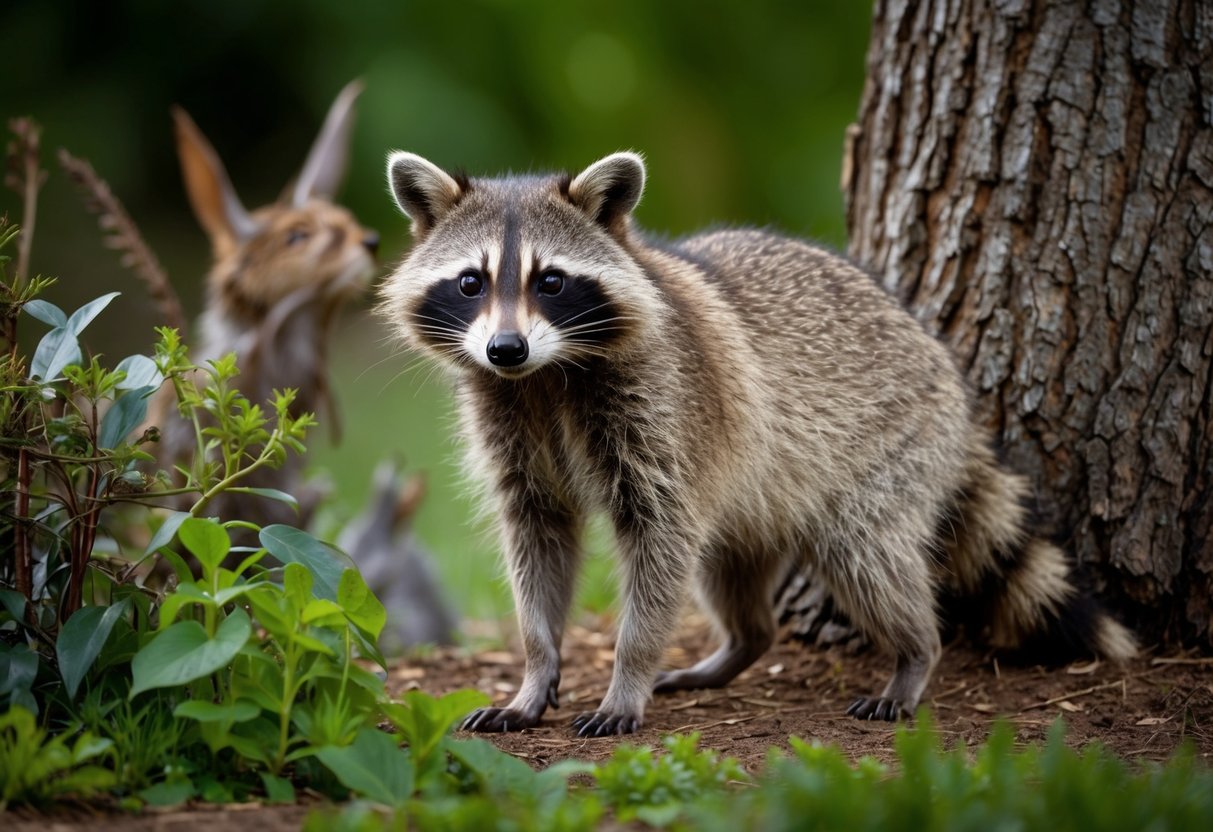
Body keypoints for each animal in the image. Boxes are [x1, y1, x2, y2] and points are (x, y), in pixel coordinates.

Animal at [379, 151, 1137, 736]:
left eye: (552, 281)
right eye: (471, 282)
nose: (505, 348)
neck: (547, 374)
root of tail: (946, 377)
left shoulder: (665, 411)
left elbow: (659, 541)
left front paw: (628, 673)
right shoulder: (510, 421)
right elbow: (538, 540)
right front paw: (536, 672)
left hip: (891, 444)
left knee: (869, 557)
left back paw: (915, 653)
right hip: (753, 492)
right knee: (730, 571)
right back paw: (743, 644)